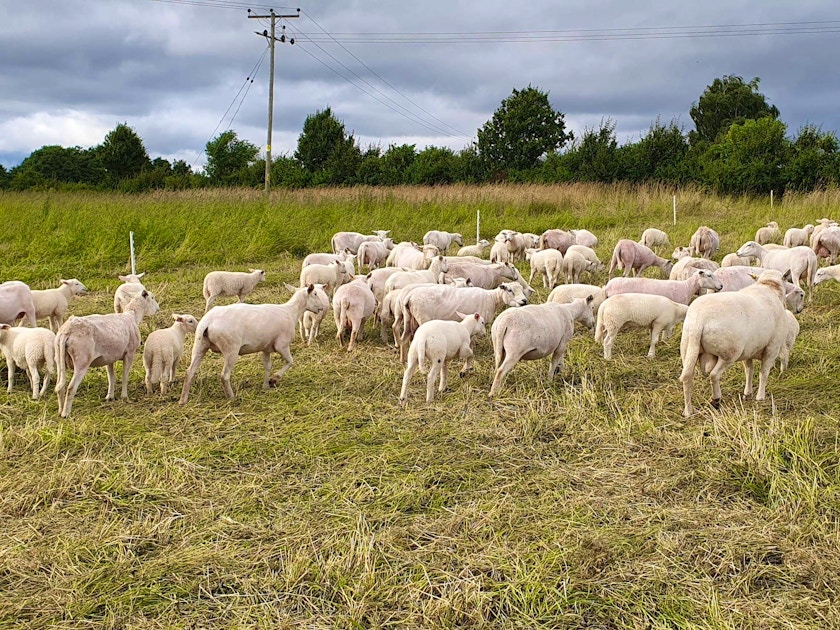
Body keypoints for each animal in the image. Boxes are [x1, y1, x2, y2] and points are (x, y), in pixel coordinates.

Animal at [179, 284, 324, 403]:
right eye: (315, 294)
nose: (321, 308)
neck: (291, 311)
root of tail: (208, 321)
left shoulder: (266, 347)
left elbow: (267, 366)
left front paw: (266, 385)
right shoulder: (281, 345)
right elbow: (290, 362)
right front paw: (274, 379)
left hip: (199, 345)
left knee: (189, 372)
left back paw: (183, 400)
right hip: (231, 348)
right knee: (224, 375)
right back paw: (231, 397)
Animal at [679, 270, 789, 417]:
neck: (769, 287)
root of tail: (699, 319)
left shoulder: (749, 350)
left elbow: (749, 371)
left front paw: (747, 394)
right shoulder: (772, 348)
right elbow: (763, 373)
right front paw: (760, 397)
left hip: (688, 348)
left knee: (687, 378)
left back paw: (688, 411)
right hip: (729, 353)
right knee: (714, 375)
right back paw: (716, 400)